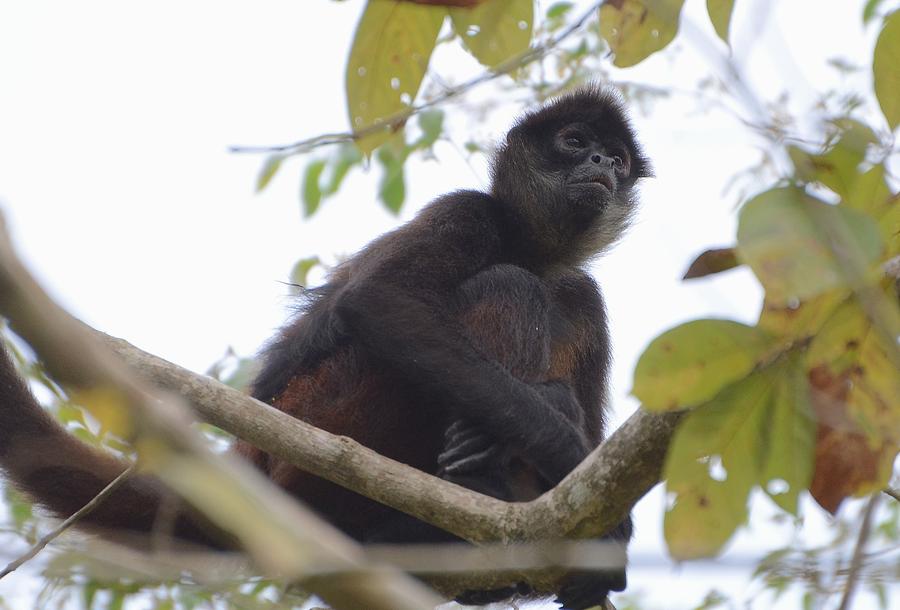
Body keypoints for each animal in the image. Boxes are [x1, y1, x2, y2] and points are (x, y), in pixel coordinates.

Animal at [0, 85, 650, 609]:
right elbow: (377, 303)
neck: (531, 248)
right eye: (574, 141)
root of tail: (252, 459)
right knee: (507, 286)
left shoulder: (583, 293)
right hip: (328, 409)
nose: (600, 163)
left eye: (616, 160)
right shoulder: (467, 211)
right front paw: (563, 444)